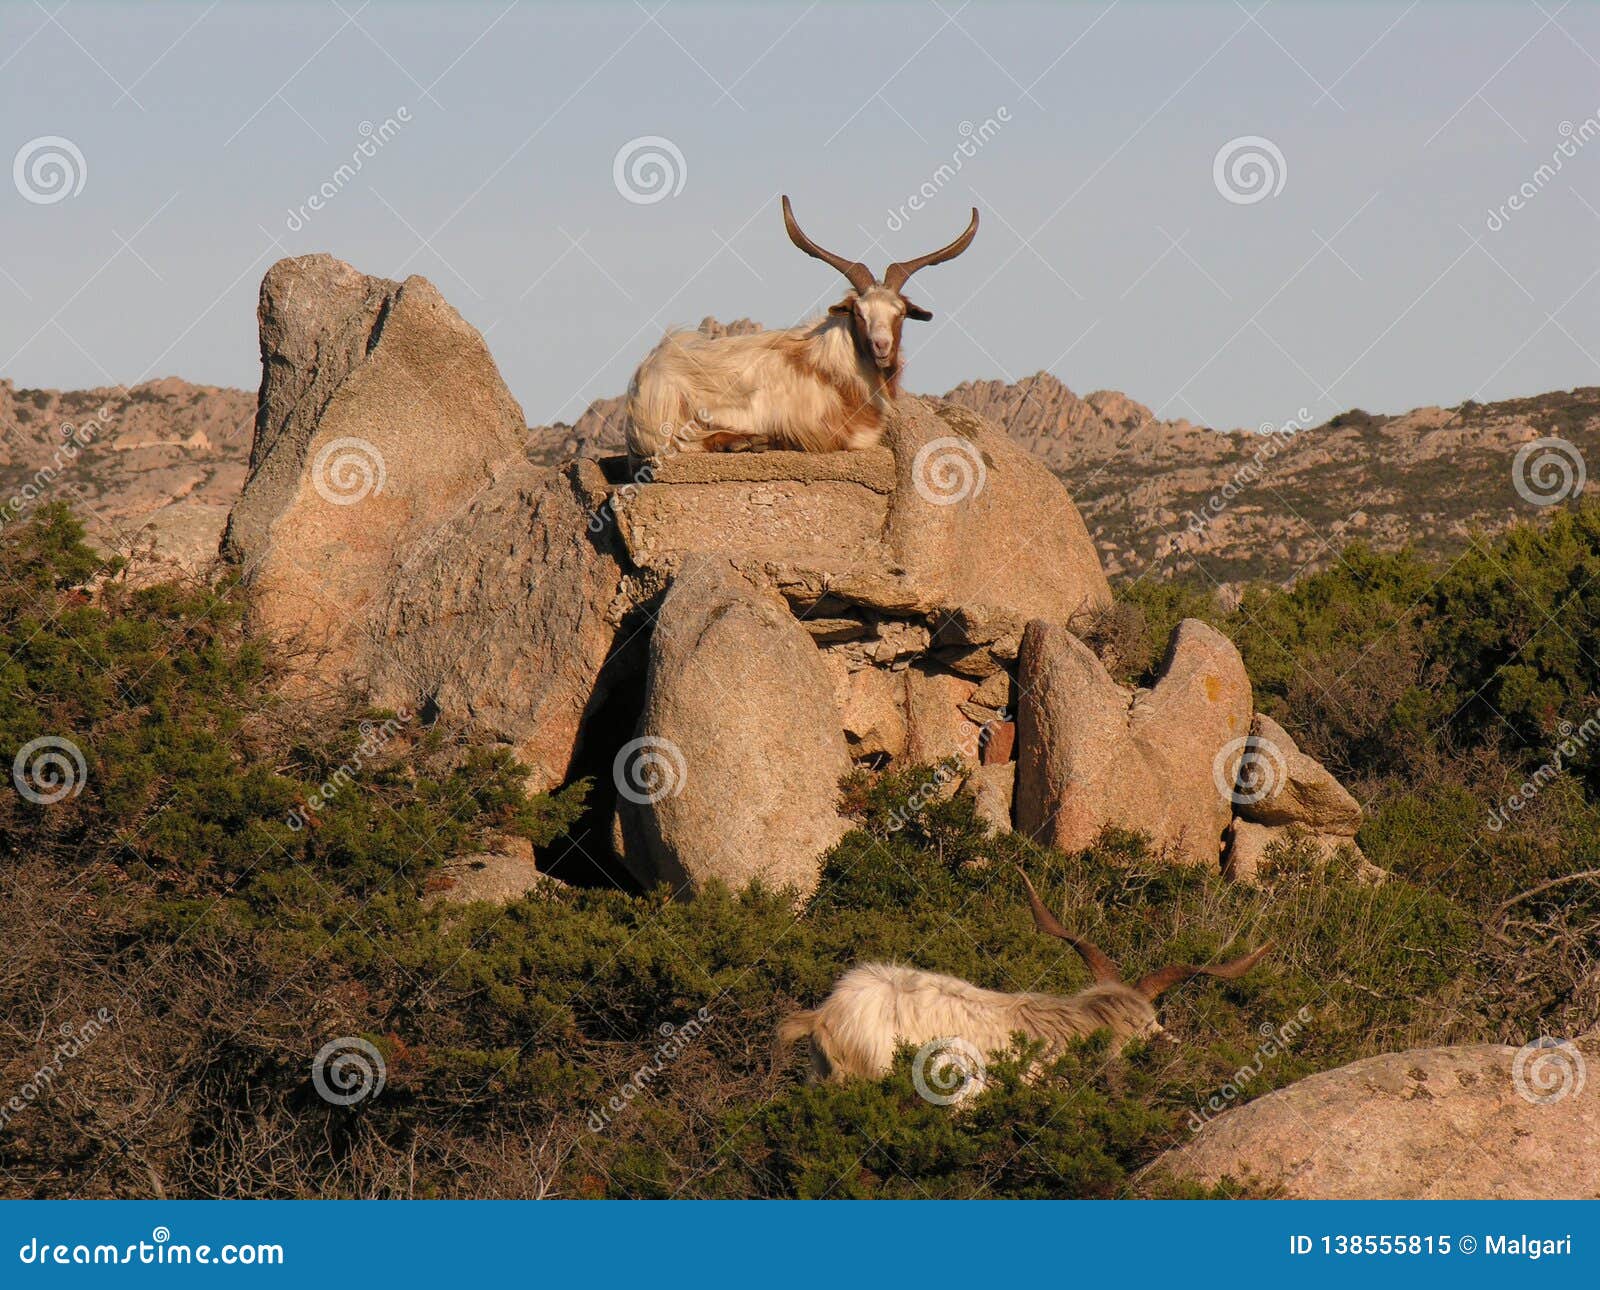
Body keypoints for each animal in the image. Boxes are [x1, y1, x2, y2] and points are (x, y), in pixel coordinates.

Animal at [623, 195, 978, 459]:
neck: (834, 367)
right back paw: (743, 440)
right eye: (859, 313)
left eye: (900, 313)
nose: (881, 346)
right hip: (671, 418)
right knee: (679, 443)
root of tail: (643, 376)